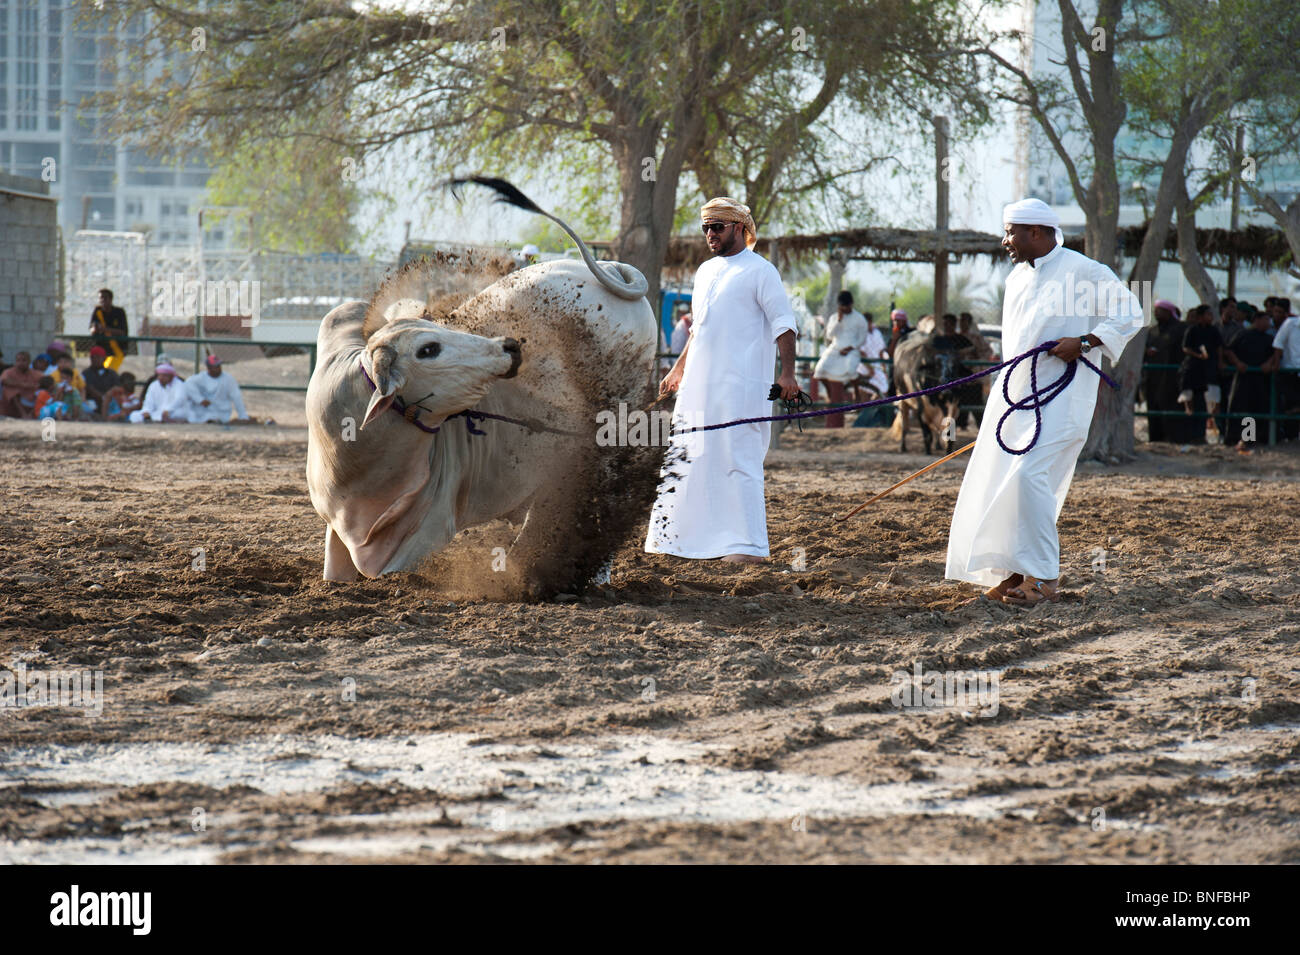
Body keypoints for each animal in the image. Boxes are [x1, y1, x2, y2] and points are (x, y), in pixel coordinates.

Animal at [306, 179, 658, 594]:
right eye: (429, 347)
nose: (509, 346)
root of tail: (609, 268)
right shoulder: (338, 530)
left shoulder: (427, 528)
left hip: (611, 421)